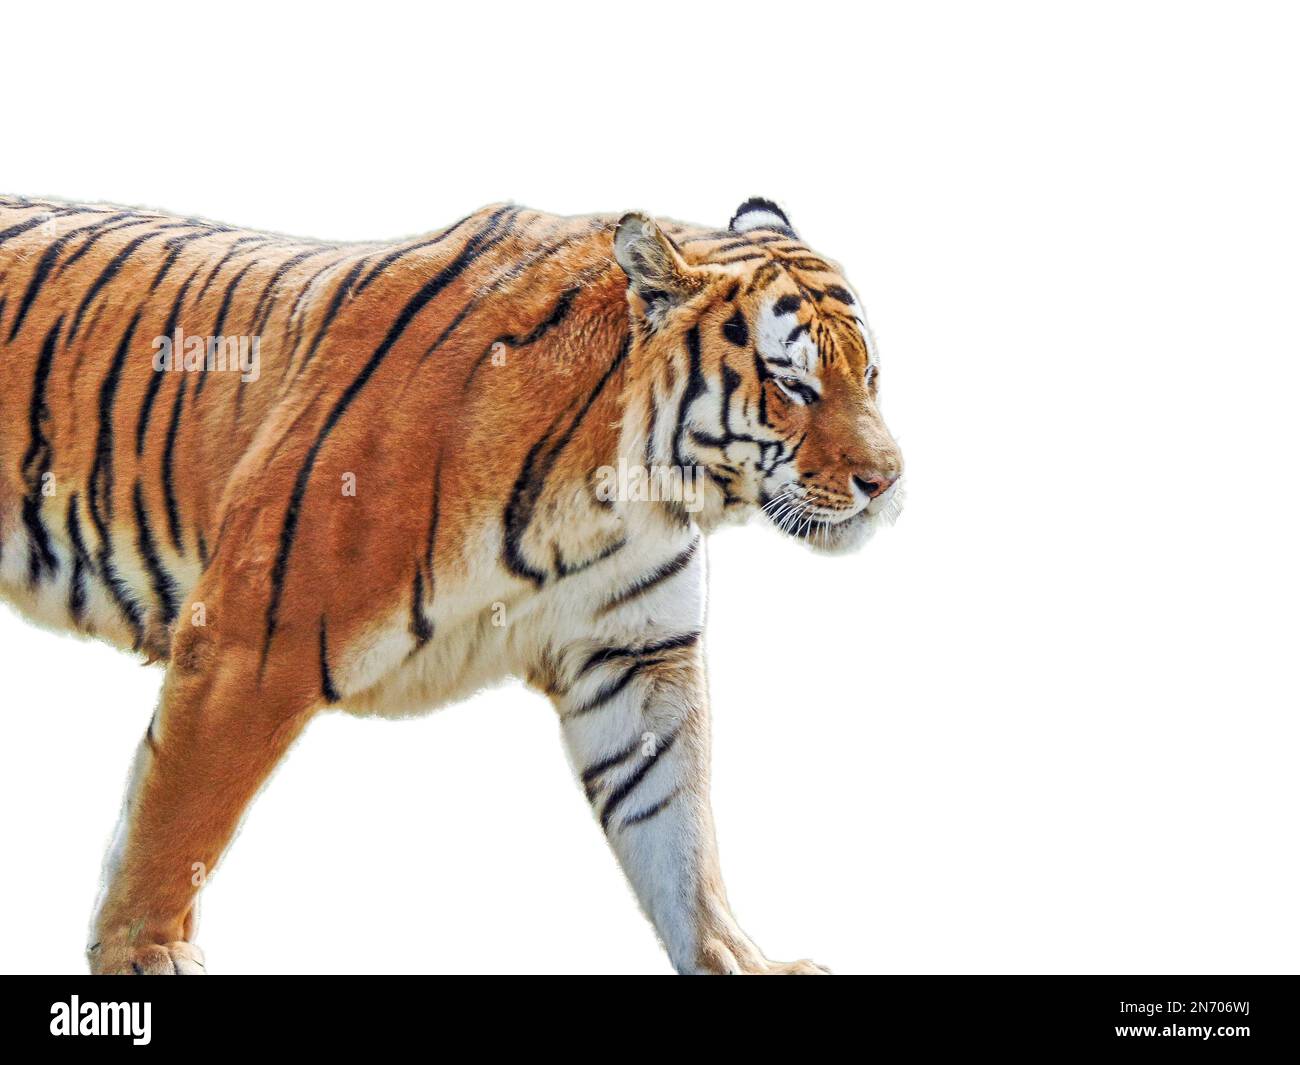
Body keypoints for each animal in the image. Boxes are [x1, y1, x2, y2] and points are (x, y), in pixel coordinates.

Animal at [0, 193, 903, 975]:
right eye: (793, 385)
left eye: (871, 375)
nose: (888, 480)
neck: (626, 492)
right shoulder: (247, 640)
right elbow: (179, 820)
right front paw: (143, 952)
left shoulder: (635, 657)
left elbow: (677, 829)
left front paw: (735, 961)